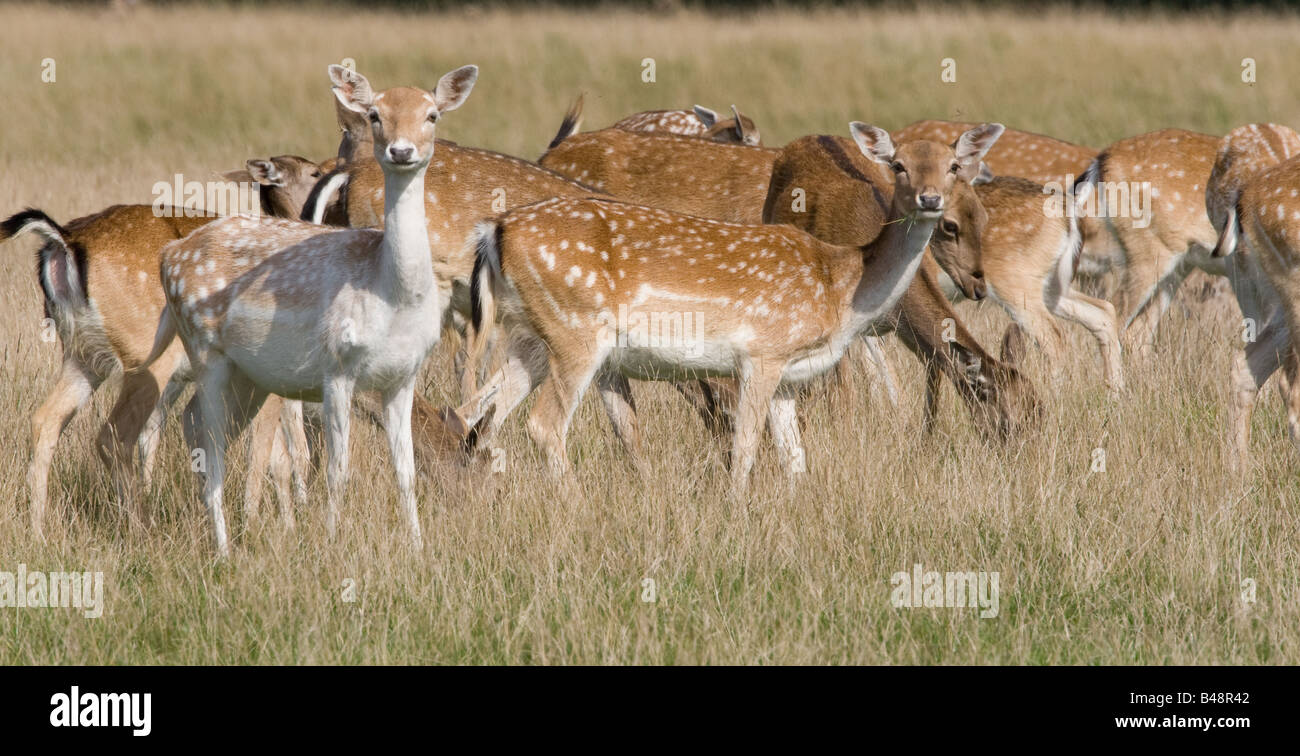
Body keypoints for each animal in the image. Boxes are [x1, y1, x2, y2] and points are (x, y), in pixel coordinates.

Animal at [455, 122, 1003, 490]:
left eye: (953, 166)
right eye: (898, 165)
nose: (930, 199)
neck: (843, 288)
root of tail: (495, 231)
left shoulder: (790, 375)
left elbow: (795, 460)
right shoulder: (761, 352)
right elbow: (744, 449)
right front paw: (738, 509)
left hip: (533, 334)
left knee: (476, 410)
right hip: (576, 330)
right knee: (542, 424)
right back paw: (575, 501)